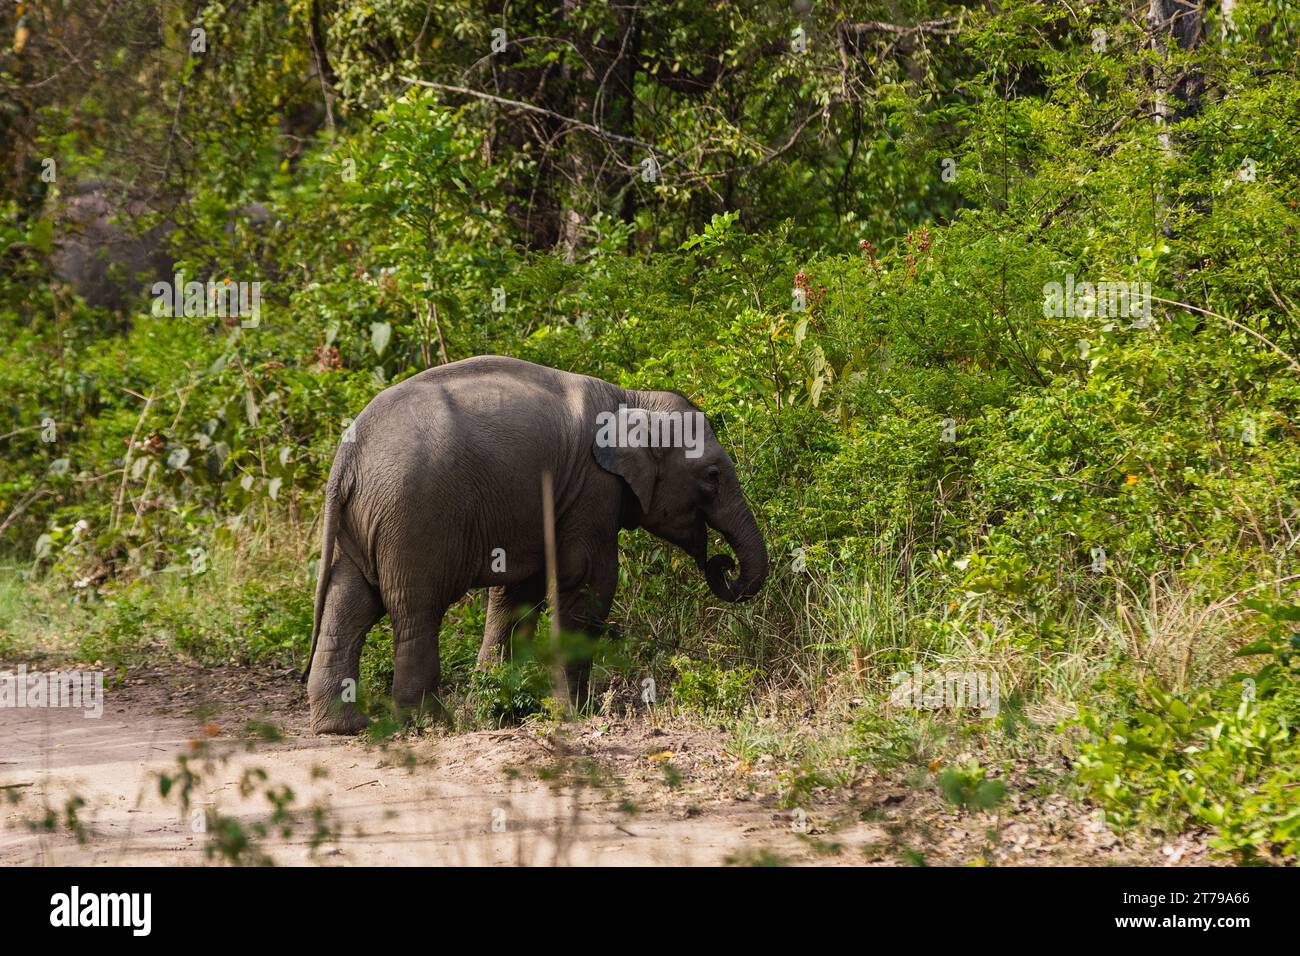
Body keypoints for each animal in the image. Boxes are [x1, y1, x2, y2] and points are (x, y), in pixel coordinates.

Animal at [302, 354, 768, 734]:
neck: (632, 398)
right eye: (712, 476)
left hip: (361, 521)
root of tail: (348, 457)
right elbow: (589, 581)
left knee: (350, 604)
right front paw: (575, 713)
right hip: (412, 516)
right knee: (416, 609)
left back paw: (342, 726)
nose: (722, 563)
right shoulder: (591, 488)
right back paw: (429, 723)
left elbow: (518, 590)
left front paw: (503, 704)